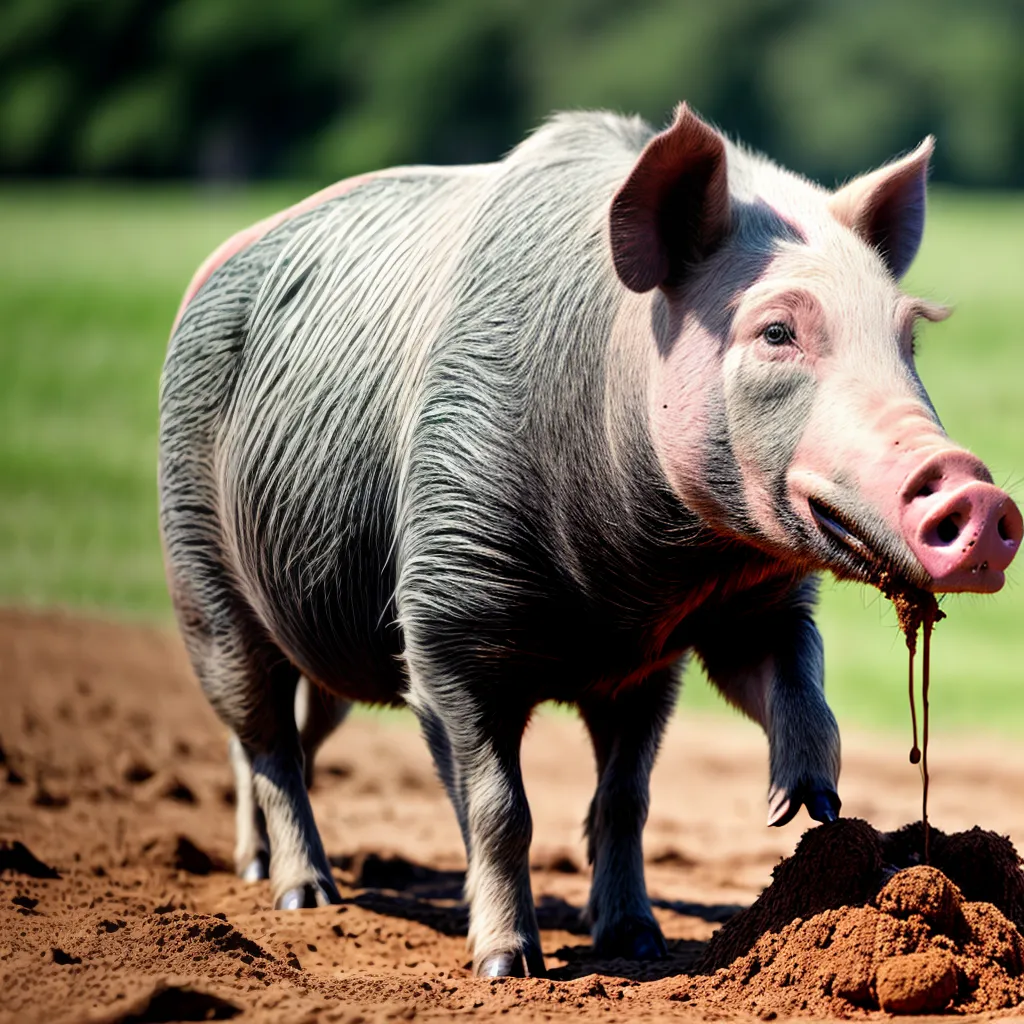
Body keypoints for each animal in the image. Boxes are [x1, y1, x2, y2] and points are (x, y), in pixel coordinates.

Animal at [159, 103, 1021, 978]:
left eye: (906, 340)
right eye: (777, 331)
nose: (977, 488)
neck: (632, 588)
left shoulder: (686, 645)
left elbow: (644, 783)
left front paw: (782, 823)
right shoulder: (440, 620)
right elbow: (499, 807)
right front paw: (508, 968)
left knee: (285, 738)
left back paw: (258, 869)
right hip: (199, 573)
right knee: (262, 732)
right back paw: (303, 898)